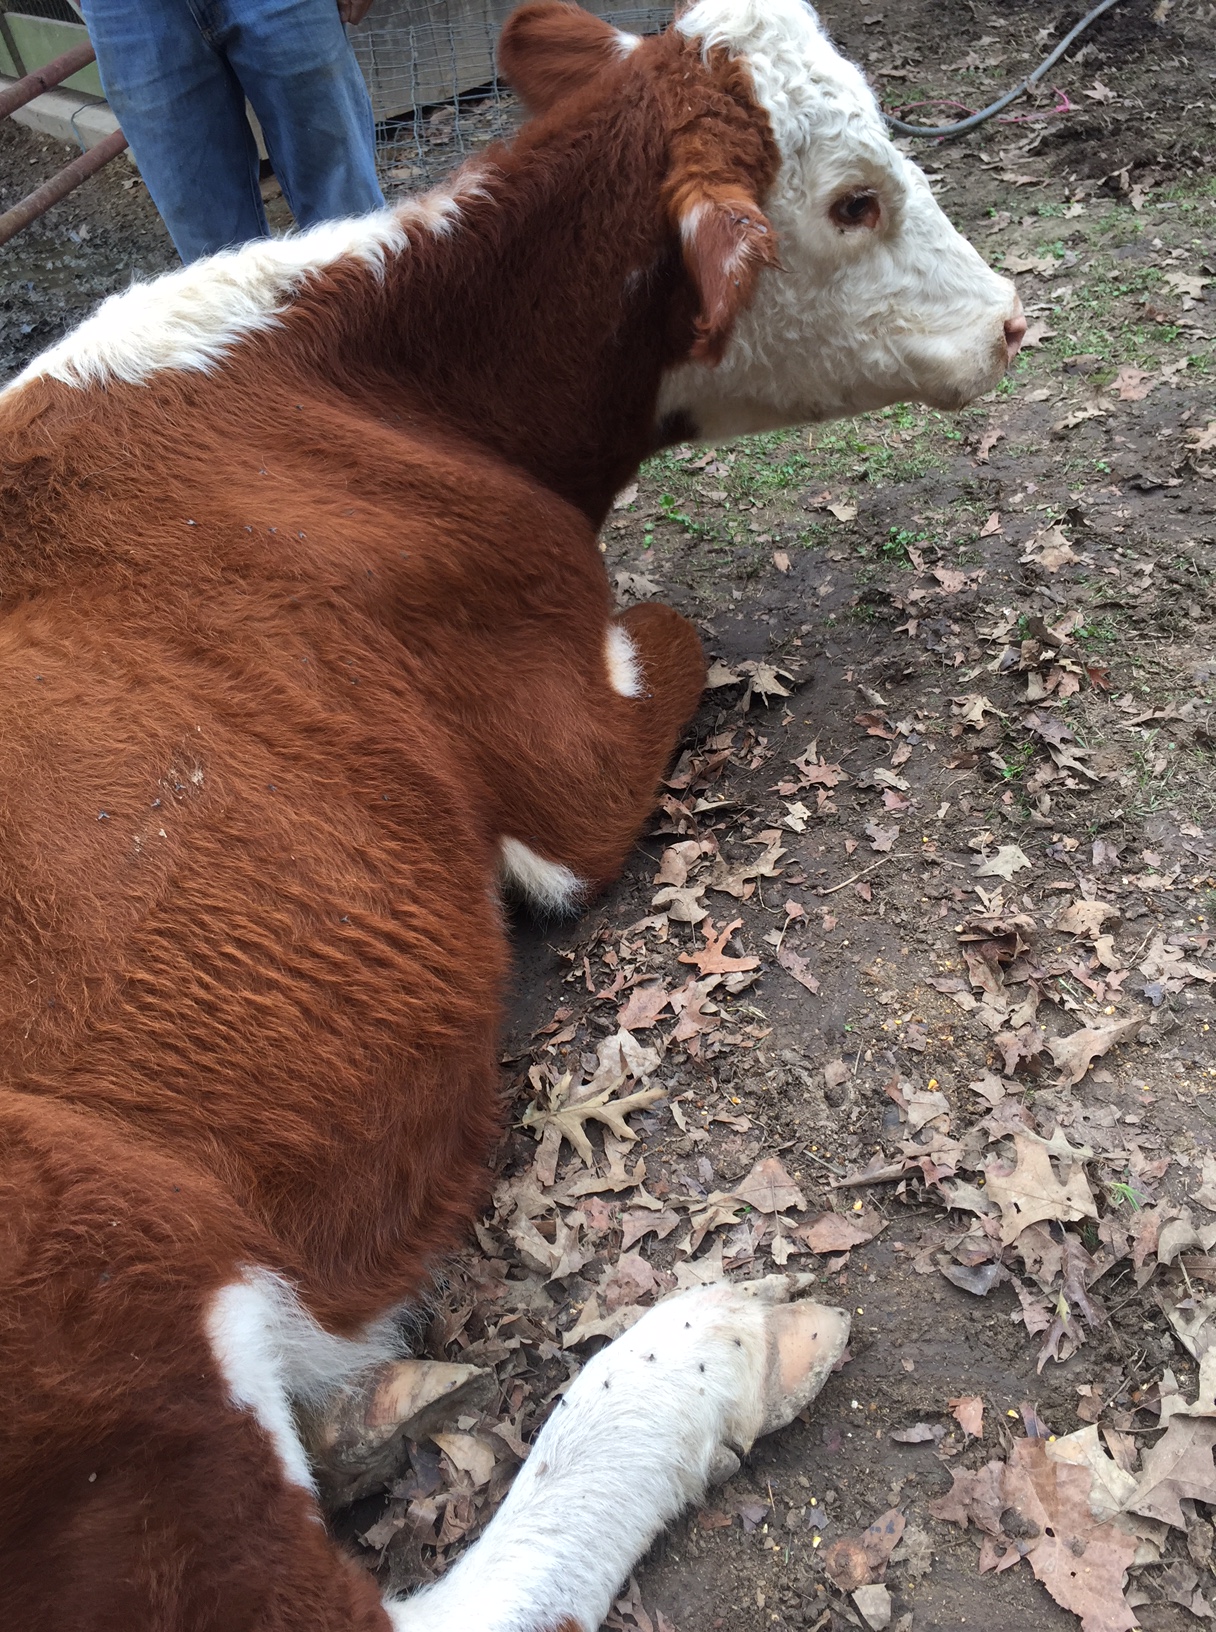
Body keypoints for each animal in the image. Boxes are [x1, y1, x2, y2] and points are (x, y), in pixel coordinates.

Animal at [0, 3, 1024, 1628]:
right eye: (855, 199)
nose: (1011, 318)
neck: (384, 394)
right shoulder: (568, 756)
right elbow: (674, 627)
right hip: (98, 1246)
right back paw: (707, 1354)